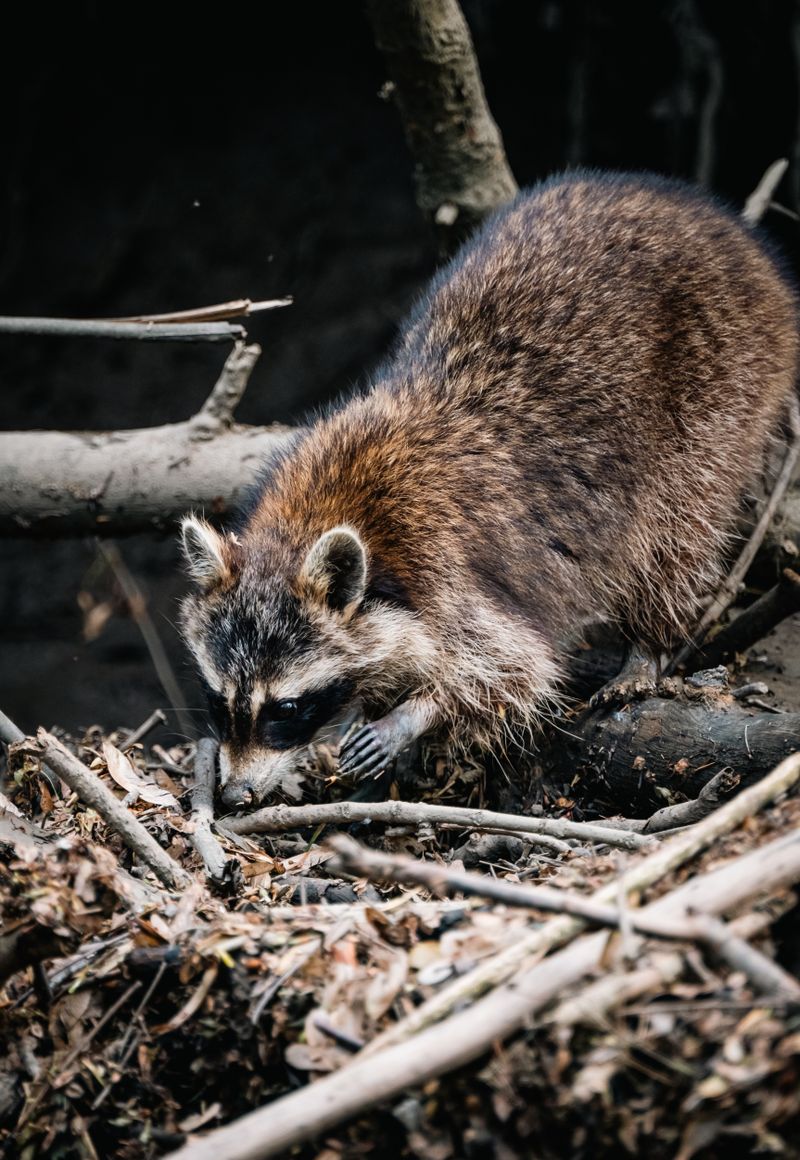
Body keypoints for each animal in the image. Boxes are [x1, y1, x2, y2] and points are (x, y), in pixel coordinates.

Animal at [180, 171, 799, 808]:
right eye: (219, 702)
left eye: (286, 708)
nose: (234, 797)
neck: (314, 517)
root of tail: (717, 221)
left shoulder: (446, 566)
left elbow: (513, 669)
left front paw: (418, 712)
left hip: (721, 373)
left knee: (677, 522)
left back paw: (647, 645)